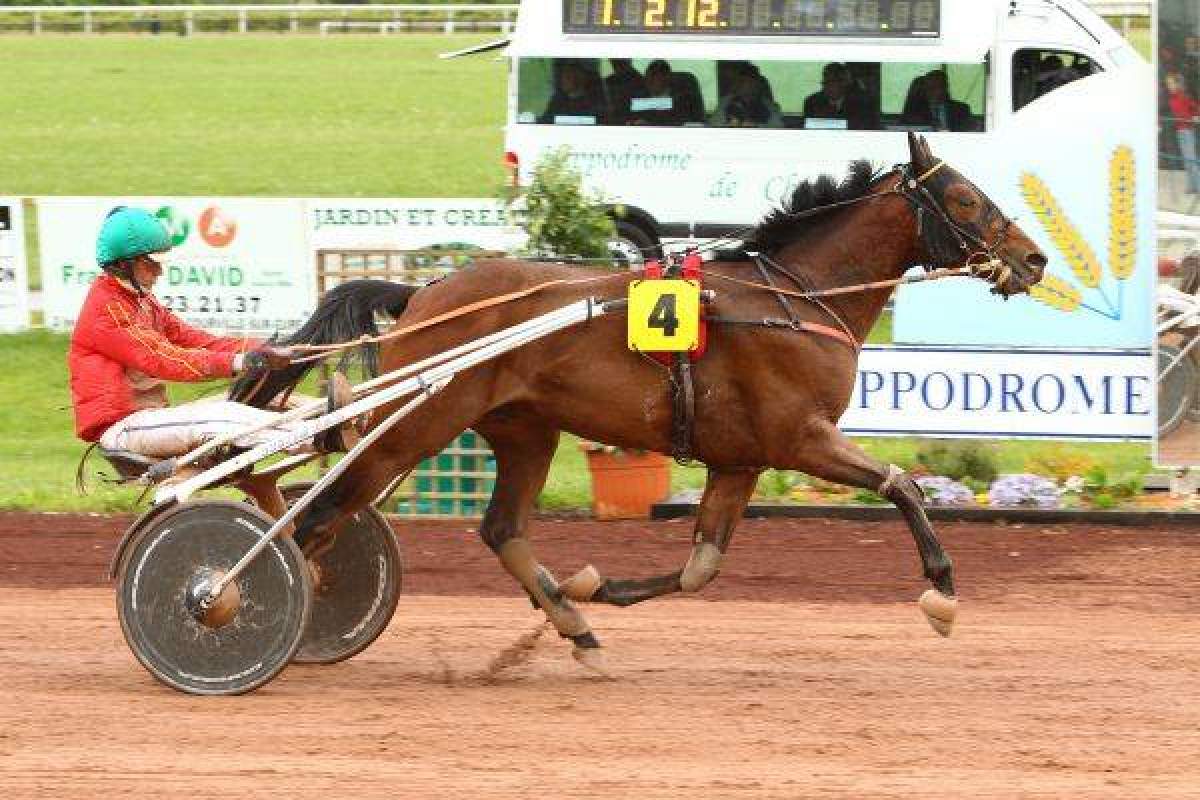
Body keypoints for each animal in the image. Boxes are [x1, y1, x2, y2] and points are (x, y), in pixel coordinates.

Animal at [234, 133, 1047, 668]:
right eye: (966, 197)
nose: (1034, 258)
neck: (794, 299)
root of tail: (422, 294)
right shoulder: (800, 438)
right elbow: (902, 483)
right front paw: (941, 591)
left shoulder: (740, 462)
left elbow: (701, 568)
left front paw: (596, 587)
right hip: (421, 423)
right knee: (320, 515)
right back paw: (262, 607)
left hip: (523, 430)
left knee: (500, 529)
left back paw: (574, 625)